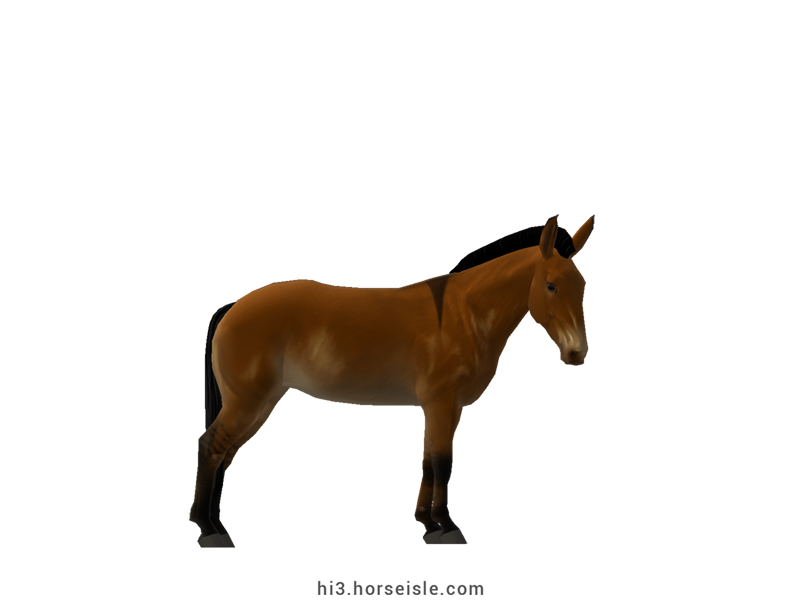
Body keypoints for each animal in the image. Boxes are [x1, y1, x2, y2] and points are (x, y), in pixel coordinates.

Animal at [191, 215, 594, 545]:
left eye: (580, 283)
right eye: (552, 285)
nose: (576, 352)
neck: (464, 313)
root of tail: (235, 306)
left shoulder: (434, 404)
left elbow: (430, 459)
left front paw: (427, 523)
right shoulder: (442, 400)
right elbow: (443, 459)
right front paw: (447, 526)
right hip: (245, 401)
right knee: (211, 446)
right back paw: (208, 530)